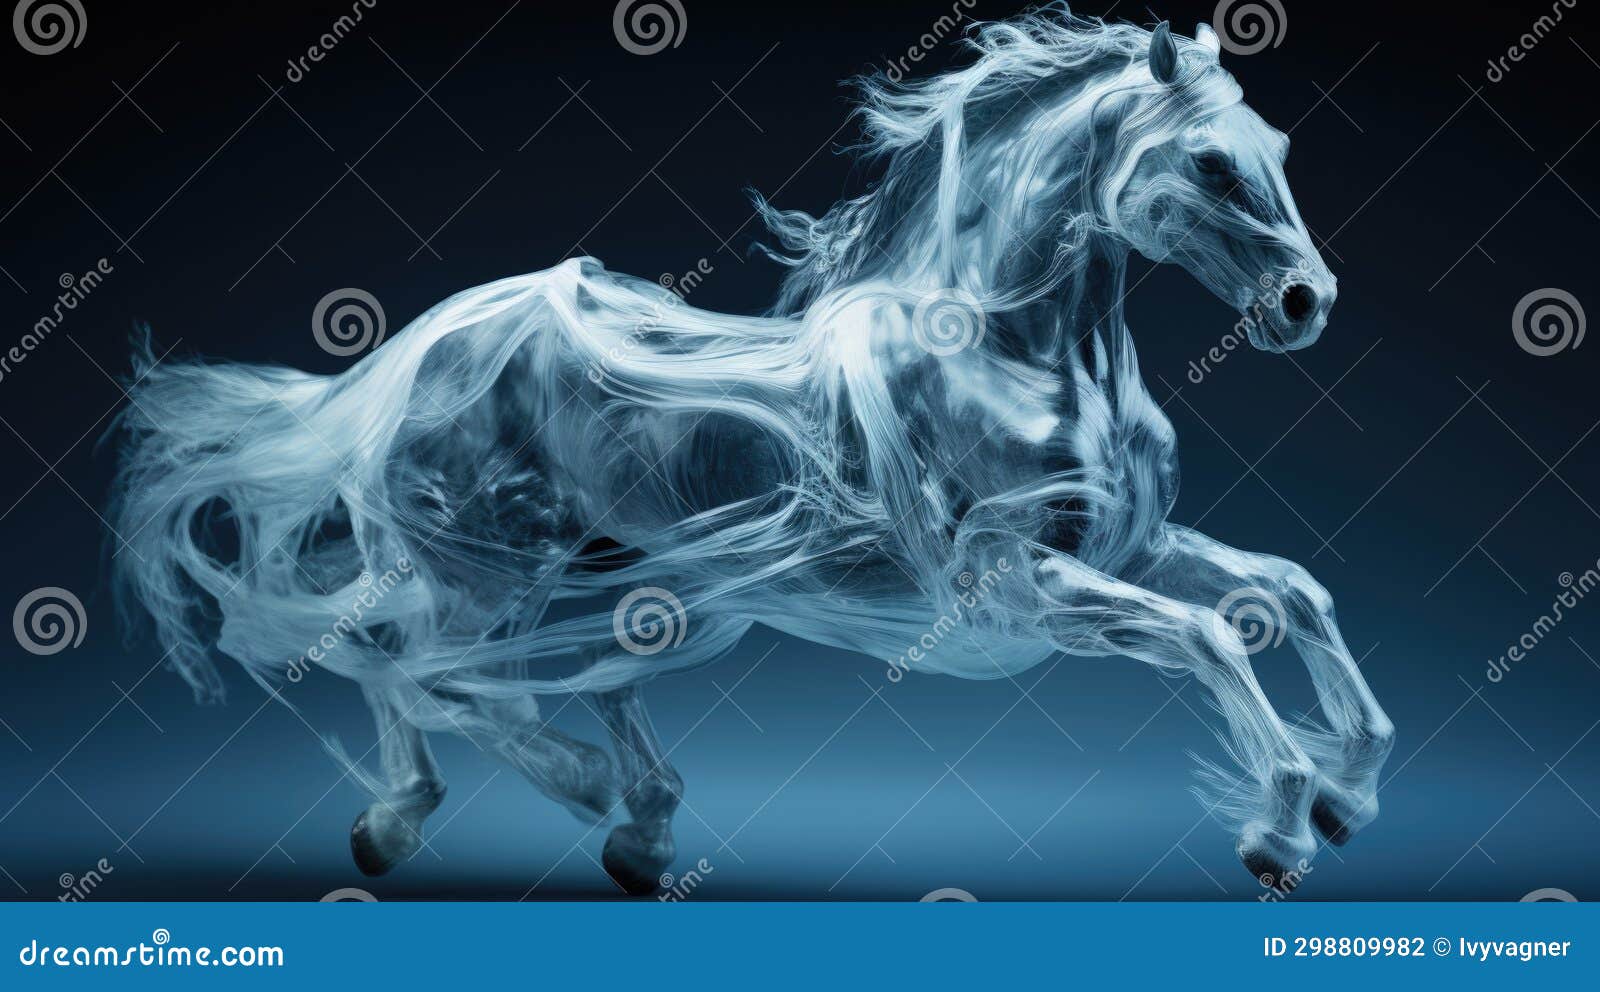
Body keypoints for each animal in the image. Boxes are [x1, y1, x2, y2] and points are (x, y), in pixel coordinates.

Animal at [111, 9, 1393, 895]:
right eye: (1212, 162)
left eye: (1277, 143)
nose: (1306, 302)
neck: (1014, 354)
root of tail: (416, 347)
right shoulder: (1010, 584)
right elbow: (1210, 634)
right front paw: (1279, 822)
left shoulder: (1133, 542)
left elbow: (1290, 590)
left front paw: (1348, 787)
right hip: (484, 566)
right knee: (423, 668)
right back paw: (535, 803)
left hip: (578, 565)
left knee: (496, 670)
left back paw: (606, 825)